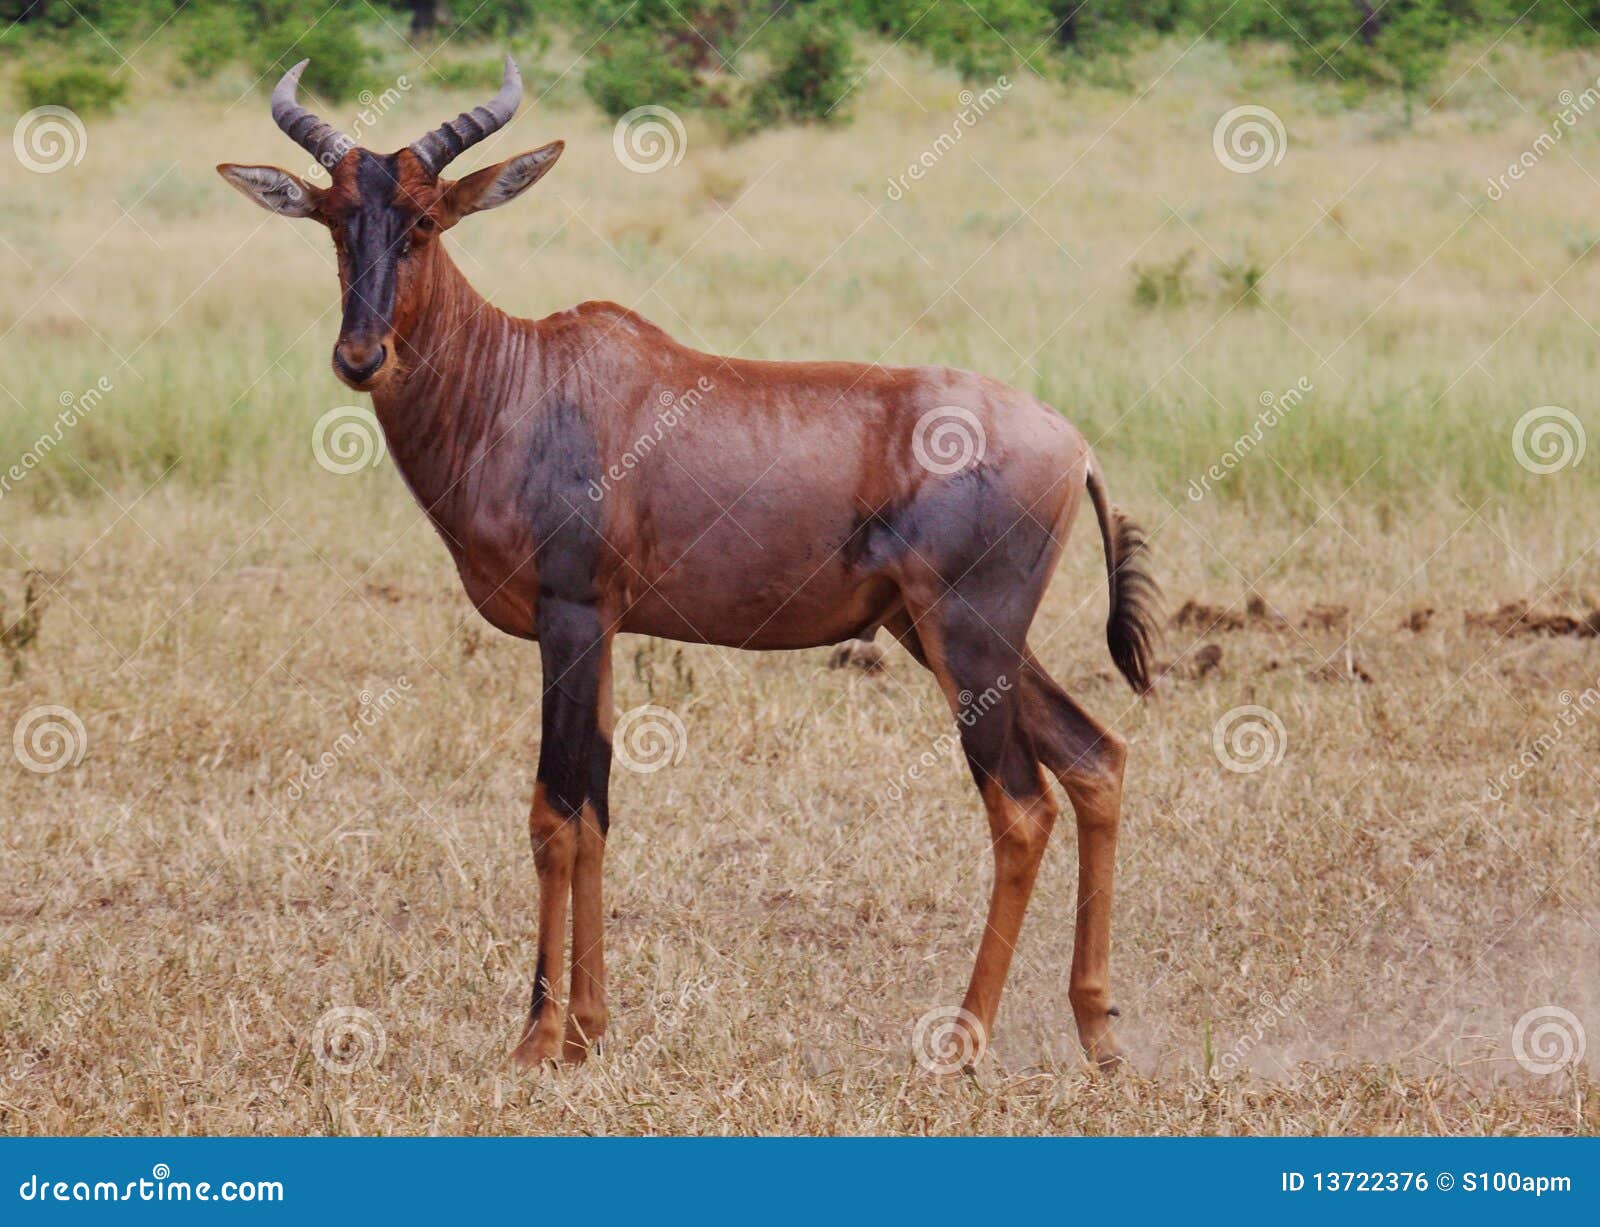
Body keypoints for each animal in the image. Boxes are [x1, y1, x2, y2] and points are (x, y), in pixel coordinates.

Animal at [219, 56, 1157, 1072]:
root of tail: (1073, 443)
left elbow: (553, 811)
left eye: (427, 218)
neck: (527, 380)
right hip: (949, 634)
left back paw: (962, 1040)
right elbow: (595, 809)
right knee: (1094, 756)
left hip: (968, 636)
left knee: (1021, 807)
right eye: (332, 215)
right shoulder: (601, 627)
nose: (362, 356)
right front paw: (587, 1031)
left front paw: (536, 1039)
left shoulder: (569, 617)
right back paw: (1098, 1030)